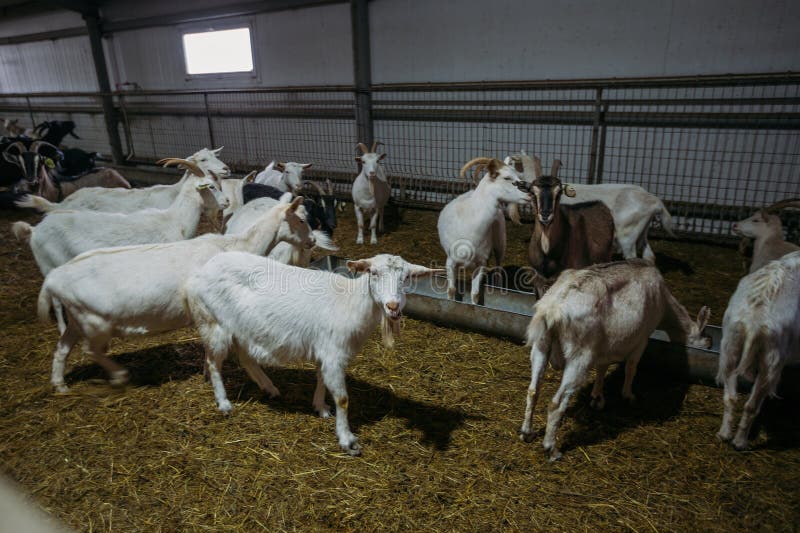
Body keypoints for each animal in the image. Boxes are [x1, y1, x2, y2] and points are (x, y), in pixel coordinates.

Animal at [37, 196, 313, 393]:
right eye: (301, 220)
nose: (311, 241)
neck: (237, 246)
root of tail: (54, 277)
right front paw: (265, 385)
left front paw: (207, 373)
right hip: (94, 322)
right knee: (91, 351)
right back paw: (119, 376)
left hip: (77, 318)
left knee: (62, 348)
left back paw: (60, 385)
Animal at [184, 252, 443, 455]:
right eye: (373, 273)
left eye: (406, 278)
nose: (393, 307)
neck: (350, 302)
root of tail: (202, 270)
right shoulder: (333, 353)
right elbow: (343, 398)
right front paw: (347, 440)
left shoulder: (325, 350)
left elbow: (321, 379)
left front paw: (321, 407)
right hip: (213, 321)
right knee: (214, 362)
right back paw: (224, 402)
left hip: (239, 328)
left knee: (245, 358)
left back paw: (269, 388)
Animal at [437, 157, 532, 304]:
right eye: (507, 177)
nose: (529, 194)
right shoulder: (451, 261)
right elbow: (451, 290)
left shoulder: (480, 263)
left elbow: (475, 294)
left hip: (500, 244)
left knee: (498, 267)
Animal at [519, 260, 711, 460]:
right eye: (705, 338)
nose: (711, 343)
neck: (665, 305)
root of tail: (552, 310)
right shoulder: (642, 338)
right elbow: (631, 367)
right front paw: (628, 395)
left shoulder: (604, 345)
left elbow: (602, 368)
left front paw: (597, 398)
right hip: (580, 356)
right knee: (556, 403)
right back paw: (552, 449)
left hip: (541, 345)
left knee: (533, 390)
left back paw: (527, 433)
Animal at [716, 251, 800, 450]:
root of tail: (755, 319)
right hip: (771, 361)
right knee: (751, 405)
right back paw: (740, 442)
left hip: (730, 347)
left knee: (731, 398)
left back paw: (724, 434)